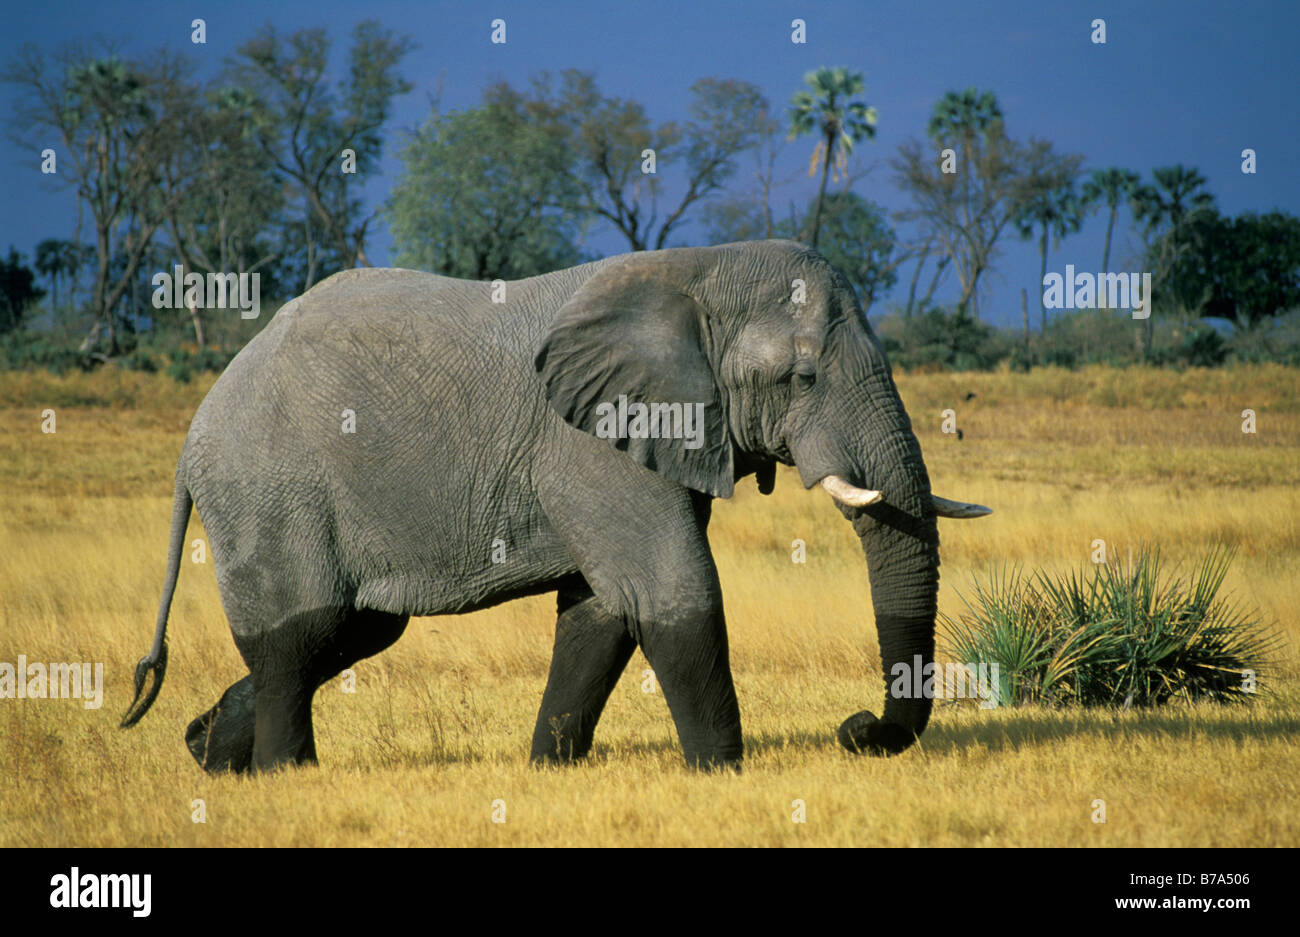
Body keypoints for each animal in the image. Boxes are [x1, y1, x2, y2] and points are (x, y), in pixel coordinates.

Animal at [120, 239, 990, 773]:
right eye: (802, 379)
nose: (858, 730)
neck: (694, 268)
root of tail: (194, 434)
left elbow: (602, 612)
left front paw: (547, 767)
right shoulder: (591, 441)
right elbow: (671, 590)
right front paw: (723, 771)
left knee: (348, 630)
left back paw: (206, 752)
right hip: (269, 492)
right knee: (301, 634)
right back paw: (287, 772)